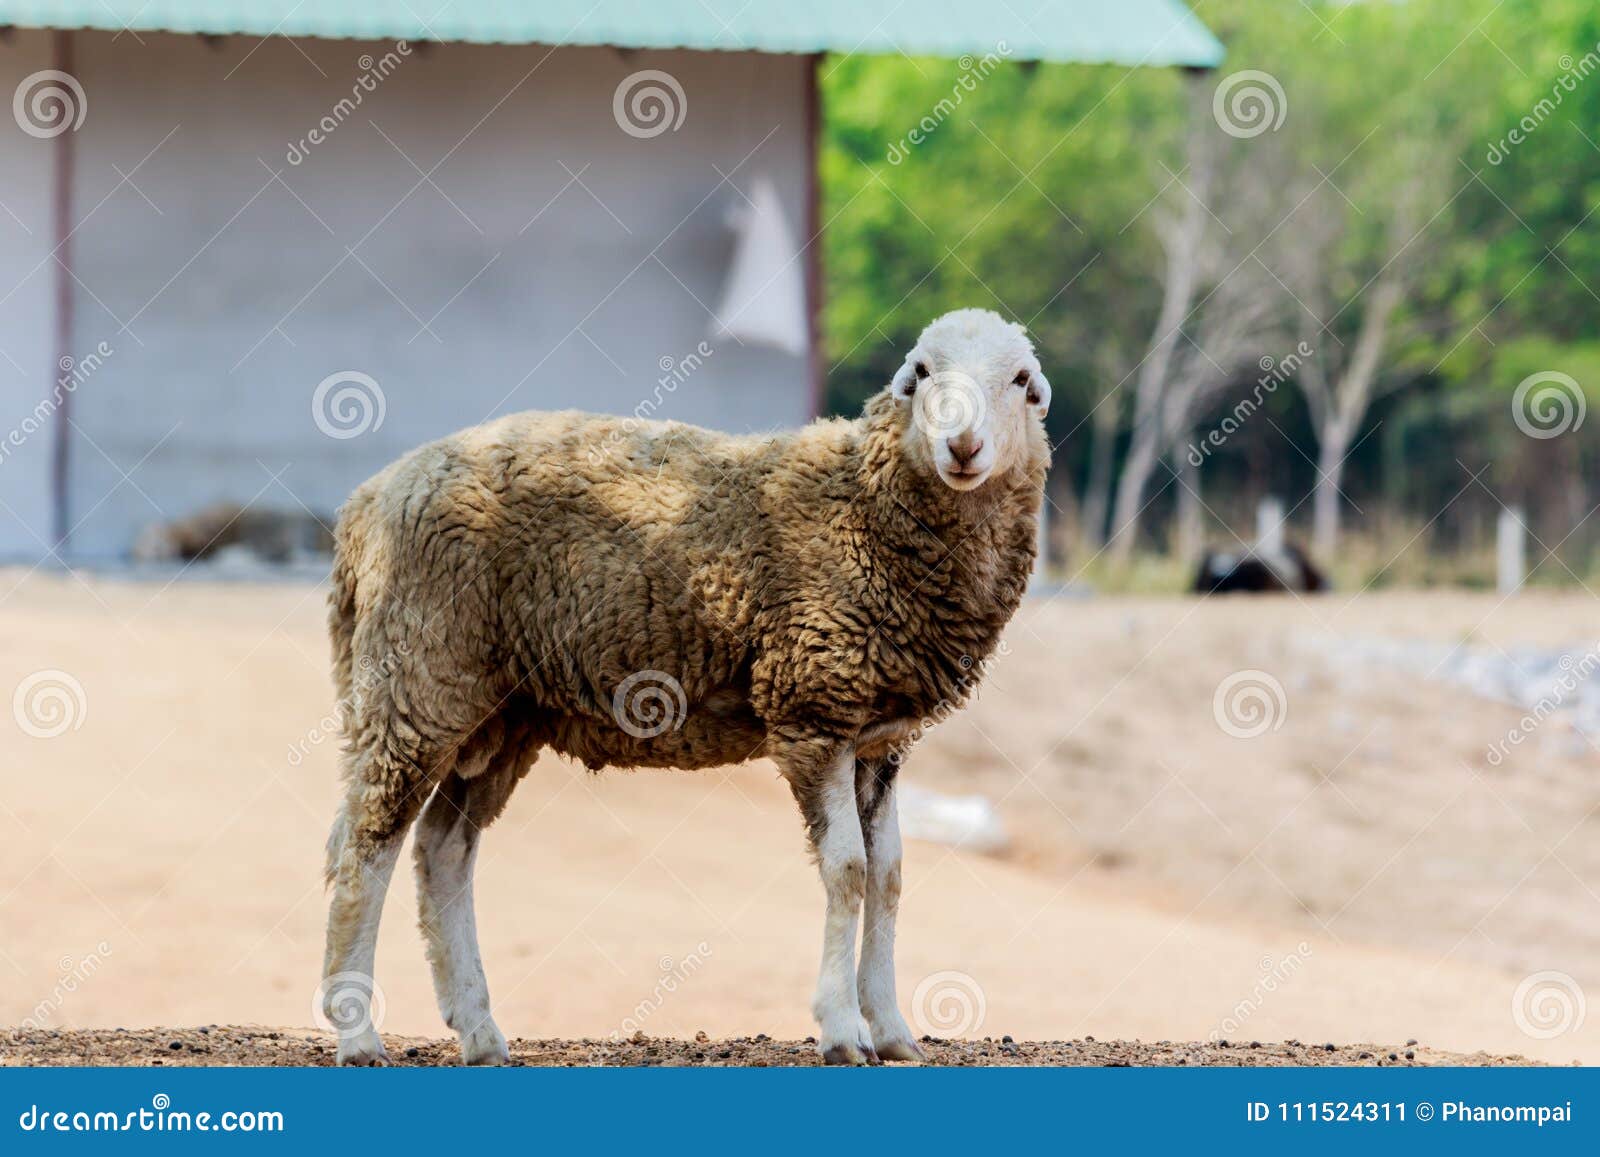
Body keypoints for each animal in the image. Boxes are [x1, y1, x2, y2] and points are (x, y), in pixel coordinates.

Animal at [318, 307, 1052, 1066]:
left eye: (1019, 380)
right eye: (925, 371)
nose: (962, 447)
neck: (863, 510)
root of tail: (367, 502)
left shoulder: (881, 737)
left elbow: (890, 875)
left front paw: (892, 1029)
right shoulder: (812, 709)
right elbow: (848, 870)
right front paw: (843, 1029)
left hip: (502, 712)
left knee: (442, 849)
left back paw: (480, 1030)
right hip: (417, 677)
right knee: (364, 847)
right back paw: (358, 1032)